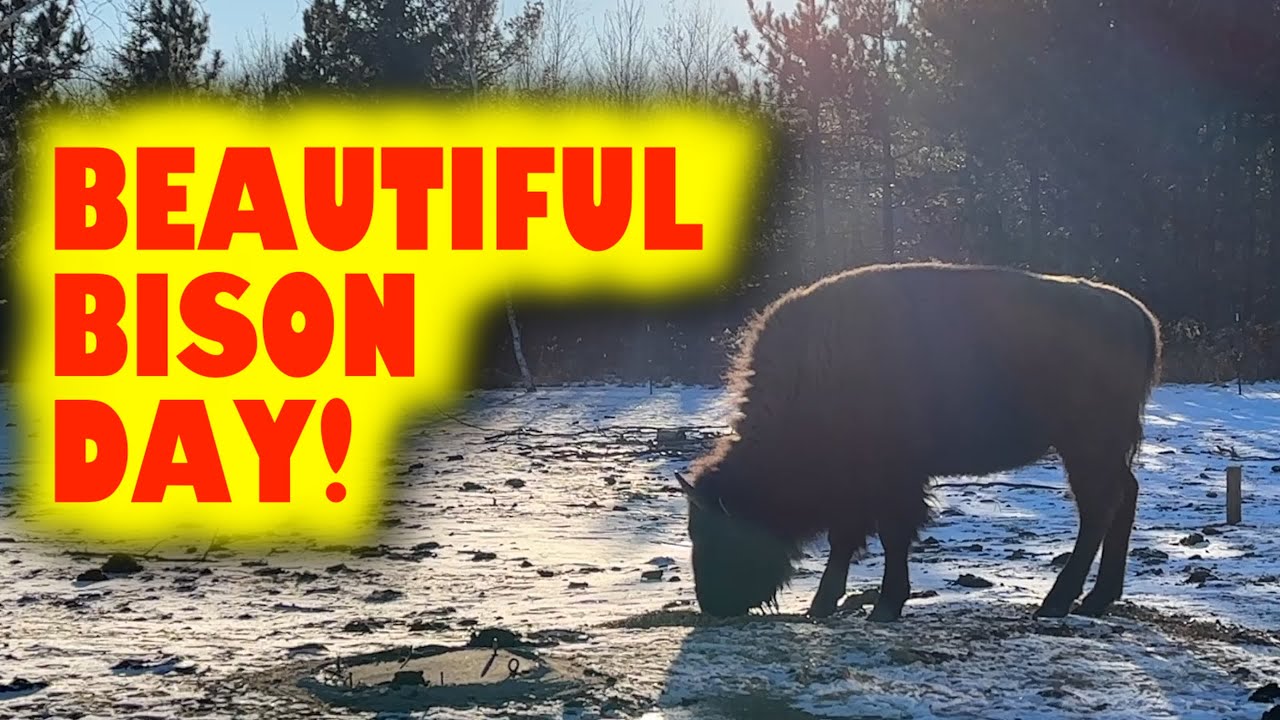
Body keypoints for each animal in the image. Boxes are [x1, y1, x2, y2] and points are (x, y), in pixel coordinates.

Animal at [676, 262, 1161, 621]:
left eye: (718, 533)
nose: (713, 605)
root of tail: (1136, 315)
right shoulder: (860, 488)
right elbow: (848, 539)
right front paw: (824, 604)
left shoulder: (892, 482)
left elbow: (889, 535)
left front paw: (884, 605)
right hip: (1098, 450)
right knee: (1124, 497)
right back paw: (1096, 599)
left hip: (1086, 446)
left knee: (1098, 509)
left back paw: (1057, 602)